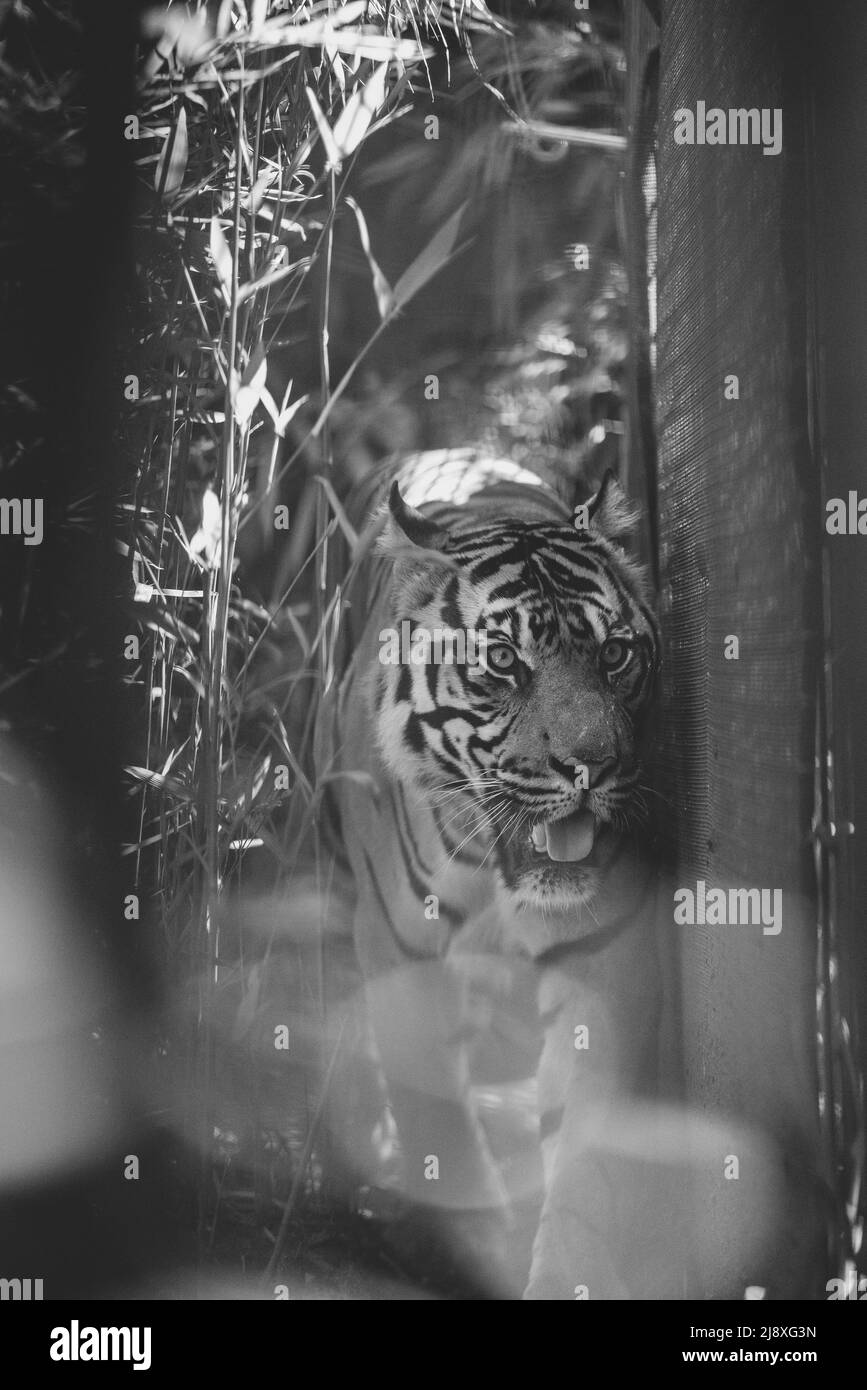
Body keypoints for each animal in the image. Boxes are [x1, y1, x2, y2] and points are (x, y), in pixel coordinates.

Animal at [314, 448, 664, 1299]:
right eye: (504, 662)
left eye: (613, 654)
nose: (594, 765)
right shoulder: (396, 943)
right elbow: (430, 1107)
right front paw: (465, 1230)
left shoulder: (603, 958)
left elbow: (581, 1159)